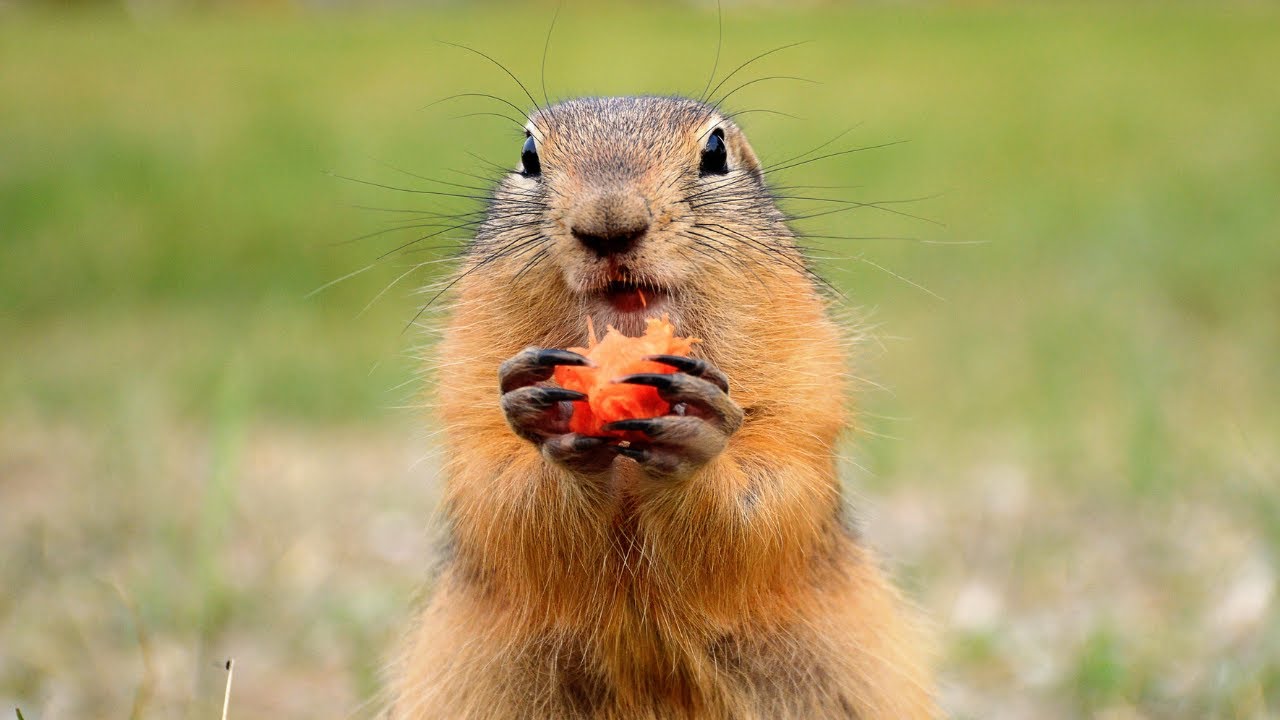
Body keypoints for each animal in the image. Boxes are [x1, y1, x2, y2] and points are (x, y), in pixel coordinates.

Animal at [387, 96, 937, 719]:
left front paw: (696, 436)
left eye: (716, 151)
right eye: (528, 155)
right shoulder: (468, 386)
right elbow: (500, 490)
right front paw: (546, 417)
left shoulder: (803, 386)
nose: (609, 224)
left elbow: (768, 492)